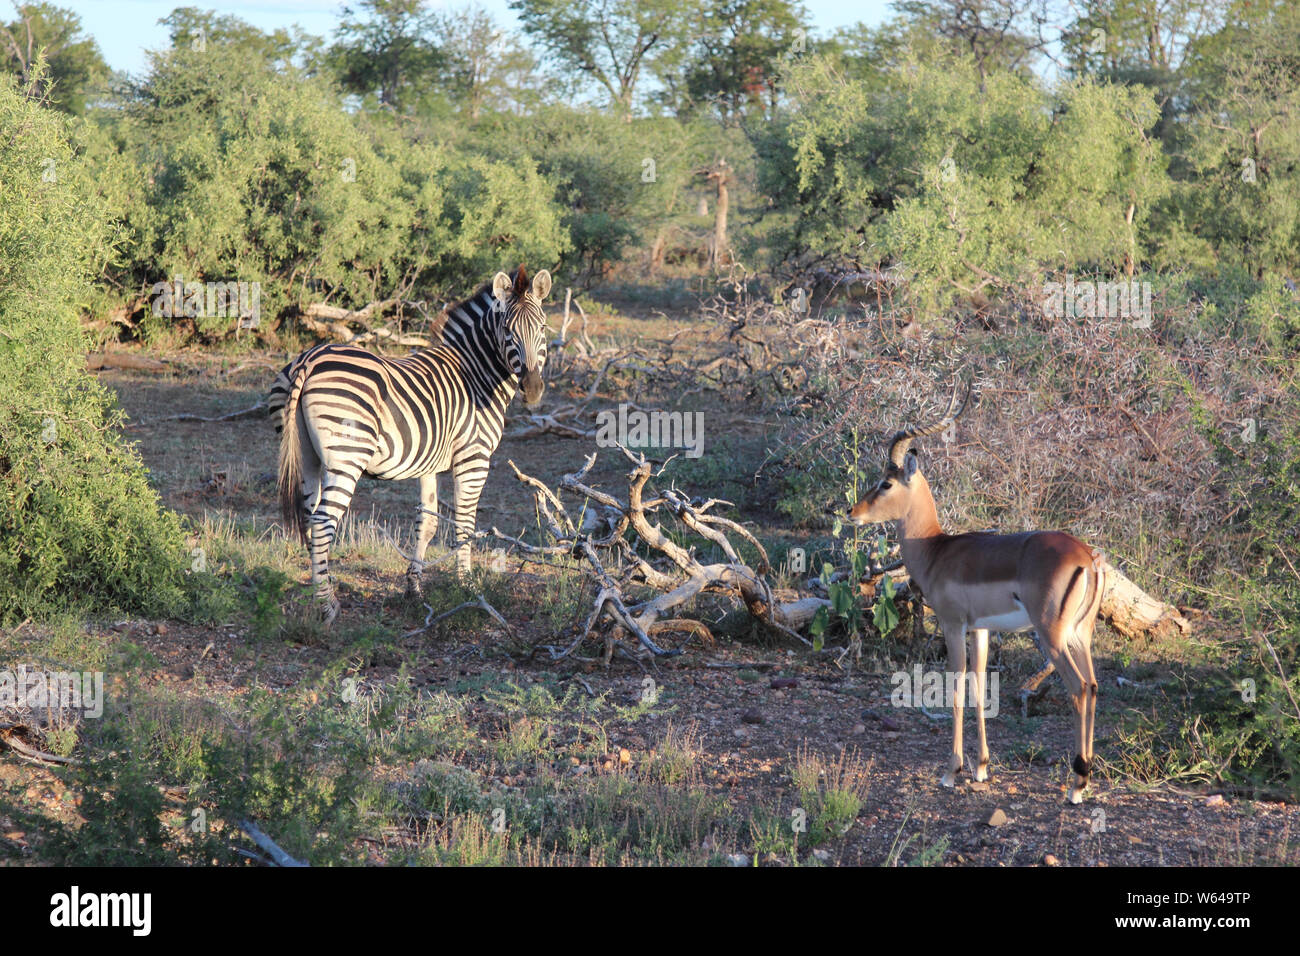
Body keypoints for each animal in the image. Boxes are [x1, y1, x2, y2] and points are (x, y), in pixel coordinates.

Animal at [267, 265, 552, 622]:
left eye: (542, 328)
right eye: (508, 330)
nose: (533, 389)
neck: (477, 375)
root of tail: (310, 359)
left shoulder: (429, 463)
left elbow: (427, 522)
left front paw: (413, 589)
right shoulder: (473, 458)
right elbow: (464, 525)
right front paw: (468, 587)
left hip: (305, 455)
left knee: (309, 517)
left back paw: (320, 589)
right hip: (347, 456)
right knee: (322, 523)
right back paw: (327, 607)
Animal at [849, 383, 1106, 804]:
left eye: (886, 483)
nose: (851, 512)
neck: (936, 549)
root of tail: (1087, 558)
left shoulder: (952, 624)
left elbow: (954, 689)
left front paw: (951, 771)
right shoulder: (981, 628)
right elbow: (980, 686)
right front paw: (982, 768)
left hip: (1052, 635)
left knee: (1079, 688)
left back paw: (1076, 784)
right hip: (1079, 635)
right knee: (1095, 686)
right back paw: (1085, 776)